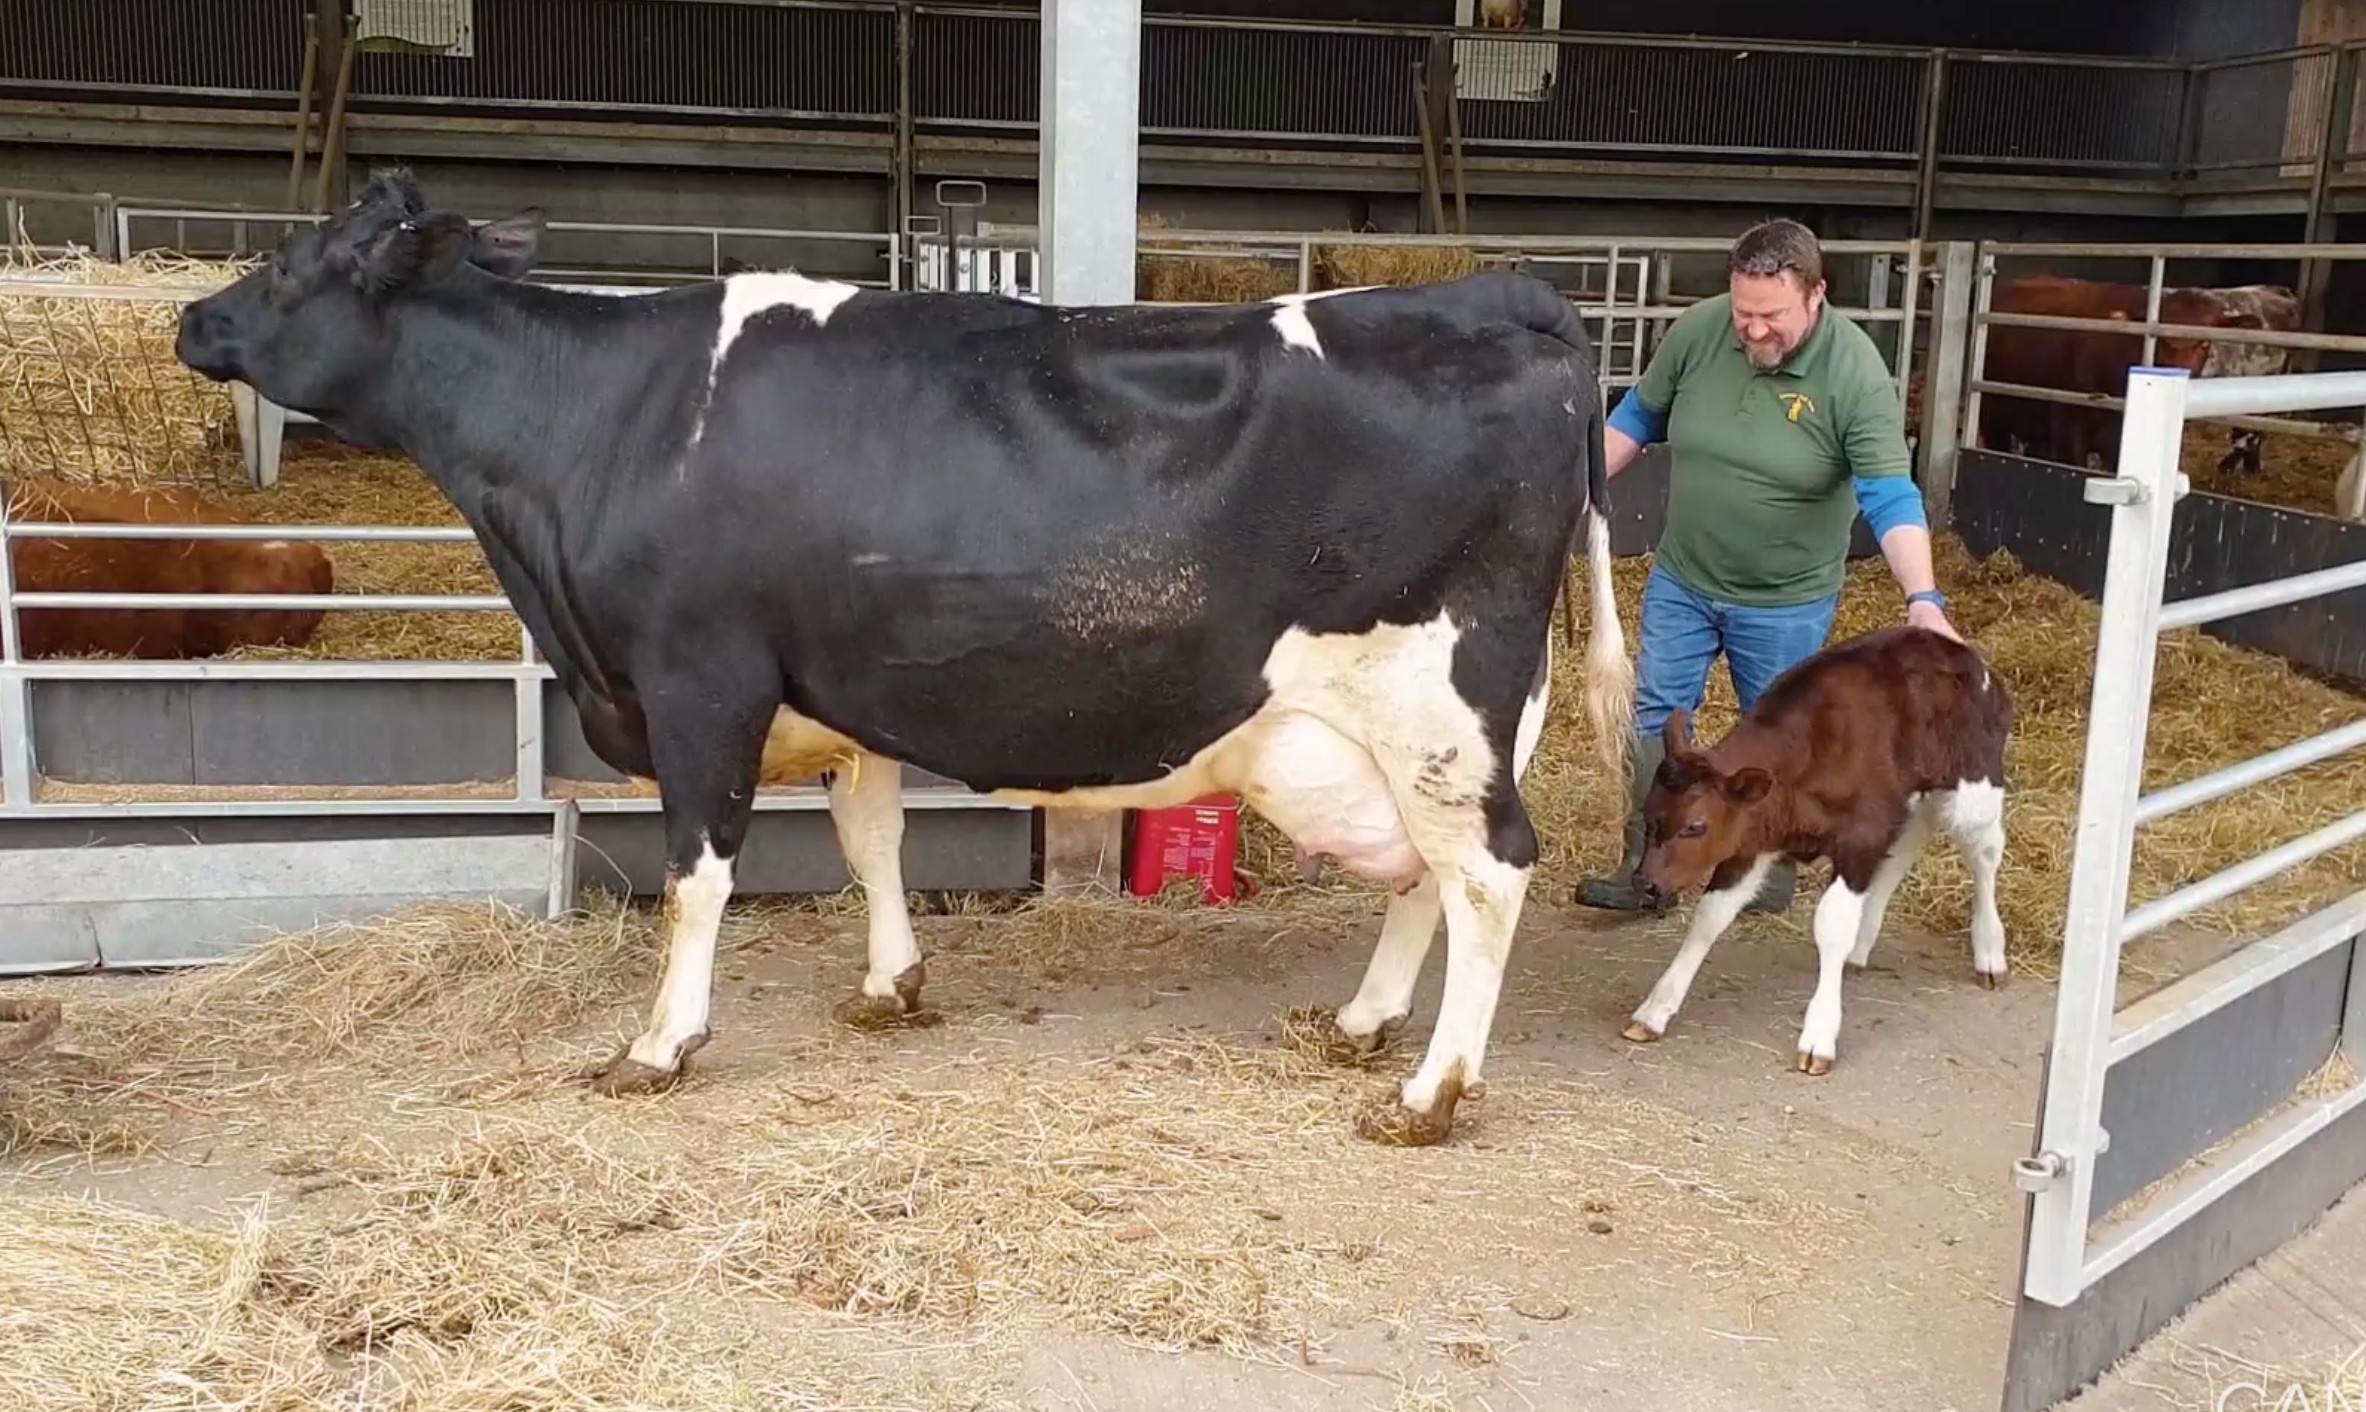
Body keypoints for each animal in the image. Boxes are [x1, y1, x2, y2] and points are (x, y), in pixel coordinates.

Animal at [170, 168, 1634, 1147]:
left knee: (1486, 872)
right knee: (1426, 875)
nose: (189, 318)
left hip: (1431, 698)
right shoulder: (838, 681)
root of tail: (1502, 293)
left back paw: (1429, 1090)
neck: (595, 429)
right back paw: (1359, 1025)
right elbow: (869, 836)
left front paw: (658, 1043)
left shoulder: (699, 678)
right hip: (1423, 729)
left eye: (291, 265)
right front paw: (889, 984)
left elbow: (699, 875)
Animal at [1617, 625, 2013, 1076]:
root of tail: (1960, 650)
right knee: (1906, 846)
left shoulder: (1860, 835)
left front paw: (1818, 1036)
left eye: (1696, 826)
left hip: (1974, 787)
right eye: (1648, 814)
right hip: (1910, 800)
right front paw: (1655, 1009)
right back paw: (1862, 946)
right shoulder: (1753, 842)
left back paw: (1990, 953)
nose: (1645, 883)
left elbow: (1831, 924)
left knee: (1984, 855)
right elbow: (1709, 917)